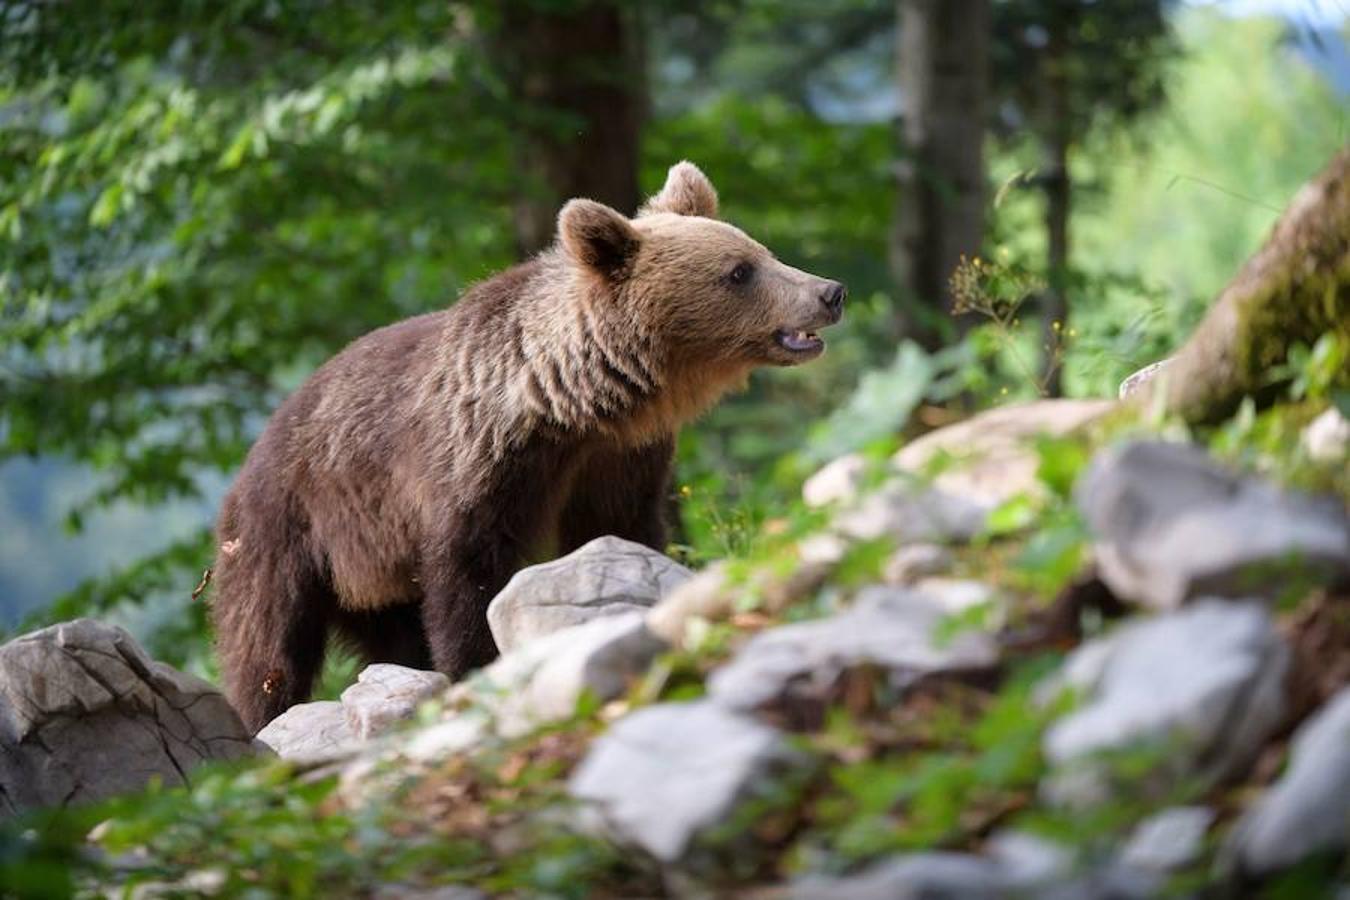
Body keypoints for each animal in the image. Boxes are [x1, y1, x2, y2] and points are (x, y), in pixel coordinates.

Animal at [211, 162, 846, 732]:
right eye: (739, 272)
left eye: (761, 251)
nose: (830, 291)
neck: (569, 404)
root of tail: (249, 461)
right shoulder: (478, 461)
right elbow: (468, 571)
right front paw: (475, 665)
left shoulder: (620, 460)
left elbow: (620, 532)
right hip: (293, 530)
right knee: (266, 643)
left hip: (371, 569)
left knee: (389, 635)